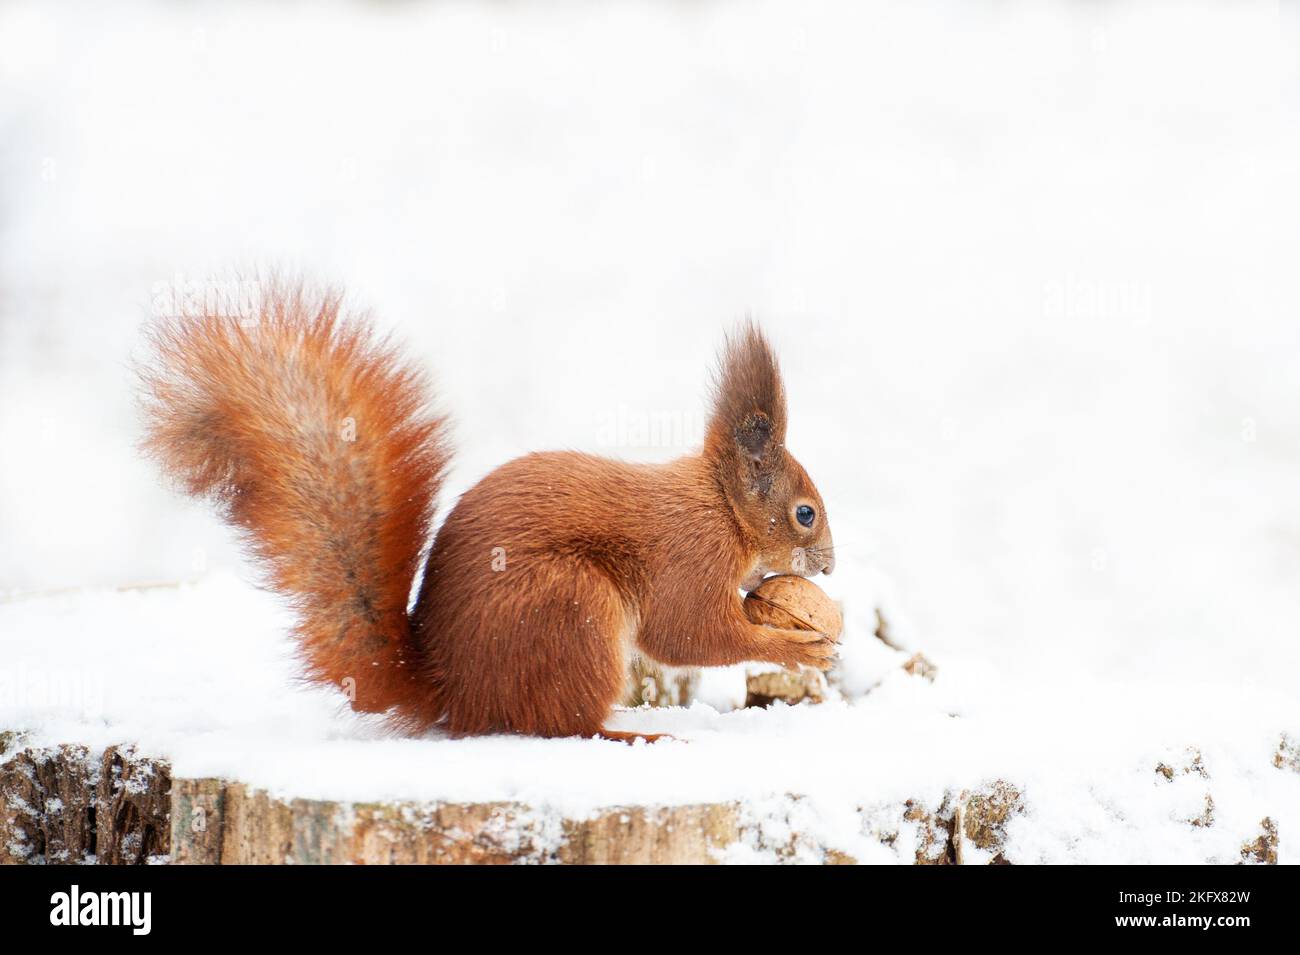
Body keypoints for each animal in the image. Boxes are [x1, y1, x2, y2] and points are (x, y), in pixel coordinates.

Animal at [140, 282, 836, 742]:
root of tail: (454, 692)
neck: (720, 506)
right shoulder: (689, 556)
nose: (828, 567)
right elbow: (690, 634)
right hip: (572, 607)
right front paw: (799, 649)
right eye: (805, 514)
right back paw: (629, 734)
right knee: (560, 727)